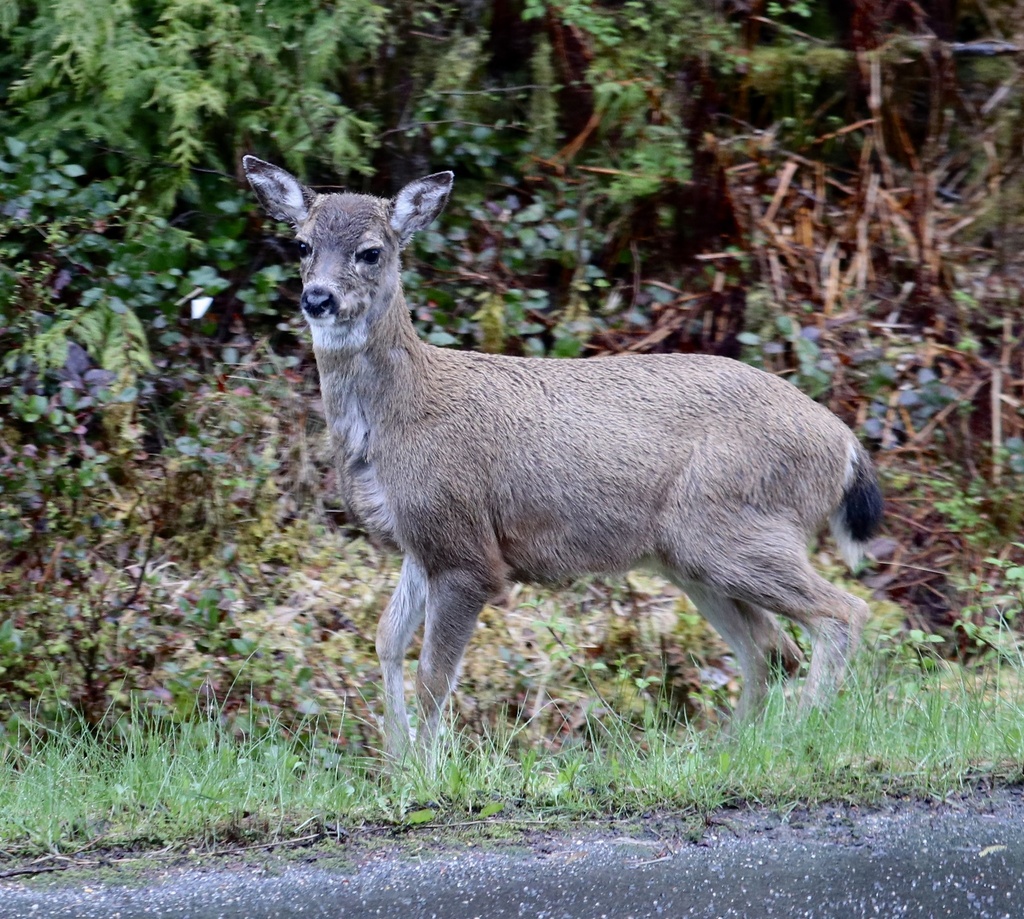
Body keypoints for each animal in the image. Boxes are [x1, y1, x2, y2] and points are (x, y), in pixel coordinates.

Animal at [243, 155, 884, 763]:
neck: (397, 421)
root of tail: (845, 444)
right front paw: (395, 763)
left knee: (841, 614)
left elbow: (433, 675)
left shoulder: (465, 547)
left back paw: (801, 736)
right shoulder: (421, 540)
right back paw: (728, 749)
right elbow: (385, 639)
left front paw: (426, 772)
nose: (318, 298)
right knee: (771, 650)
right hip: (690, 555)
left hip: (735, 527)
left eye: (371, 251)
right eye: (302, 244)